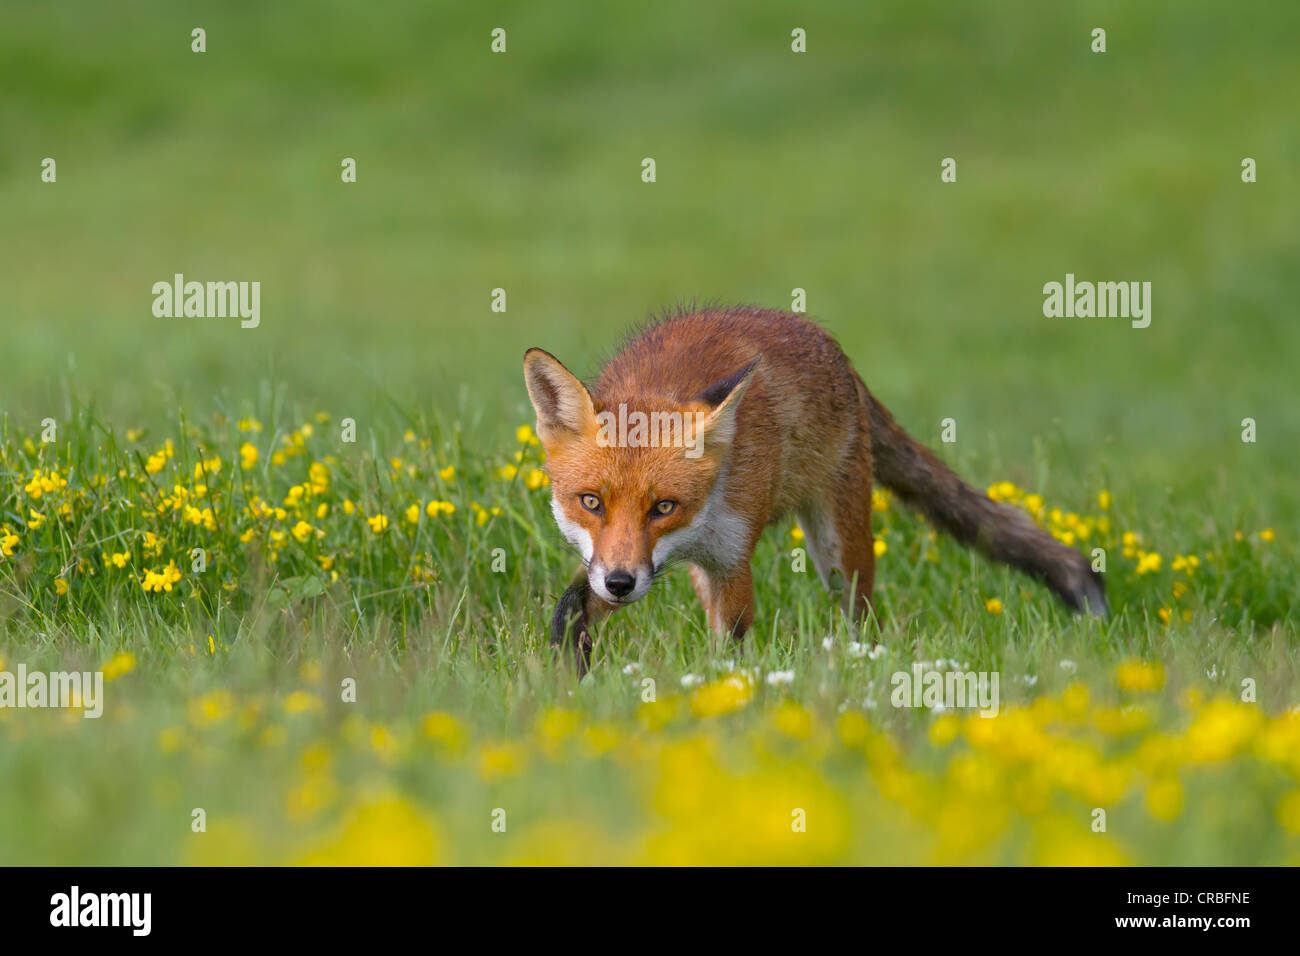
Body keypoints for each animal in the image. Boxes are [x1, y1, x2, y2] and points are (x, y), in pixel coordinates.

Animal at [523, 306, 1106, 675]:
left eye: (664, 507)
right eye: (591, 502)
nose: (621, 584)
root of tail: (829, 344)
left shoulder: (730, 557)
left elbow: (730, 643)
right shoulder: (622, 564)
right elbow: (571, 608)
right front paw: (567, 677)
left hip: (839, 548)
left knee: (862, 617)